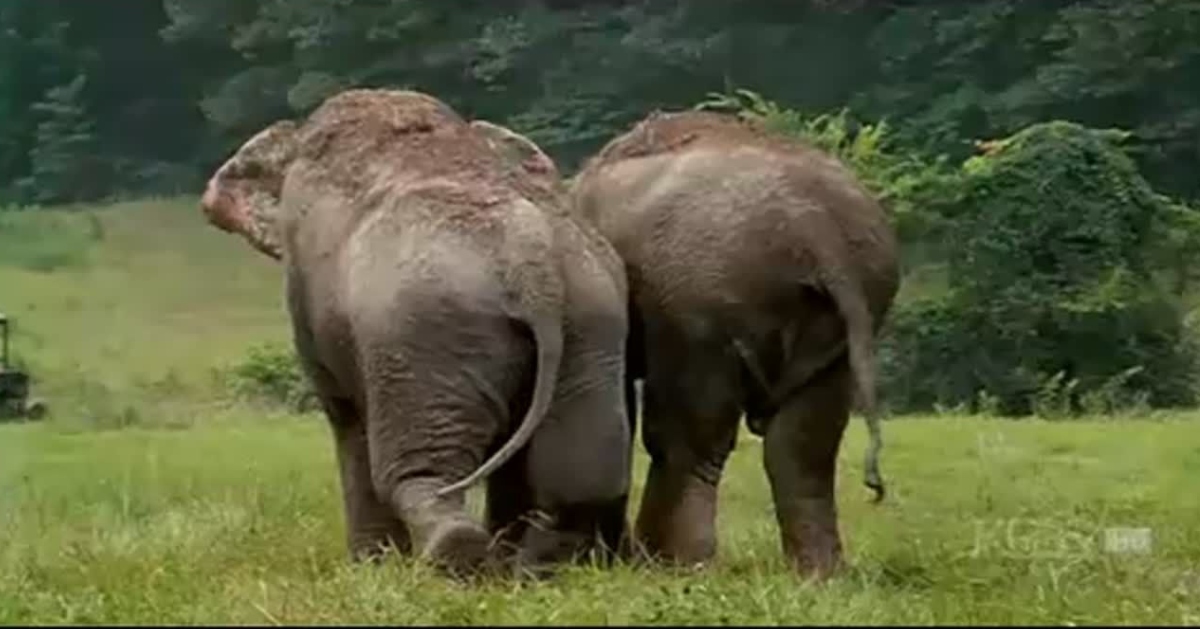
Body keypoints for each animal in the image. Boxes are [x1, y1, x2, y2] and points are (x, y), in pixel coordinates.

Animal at [198, 89, 633, 579]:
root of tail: (532, 260)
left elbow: (346, 417)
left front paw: (369, 568)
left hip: (428, 335)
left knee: (419, 472)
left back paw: (458, 557)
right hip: (590, 322)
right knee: (581, 473)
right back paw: (533, 570)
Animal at [559, 109, 902, 579]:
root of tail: (816, 225)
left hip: (697, 307)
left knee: (687, 434)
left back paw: (673, 563)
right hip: (842, 319)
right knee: (803, 444)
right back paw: (819, 575)